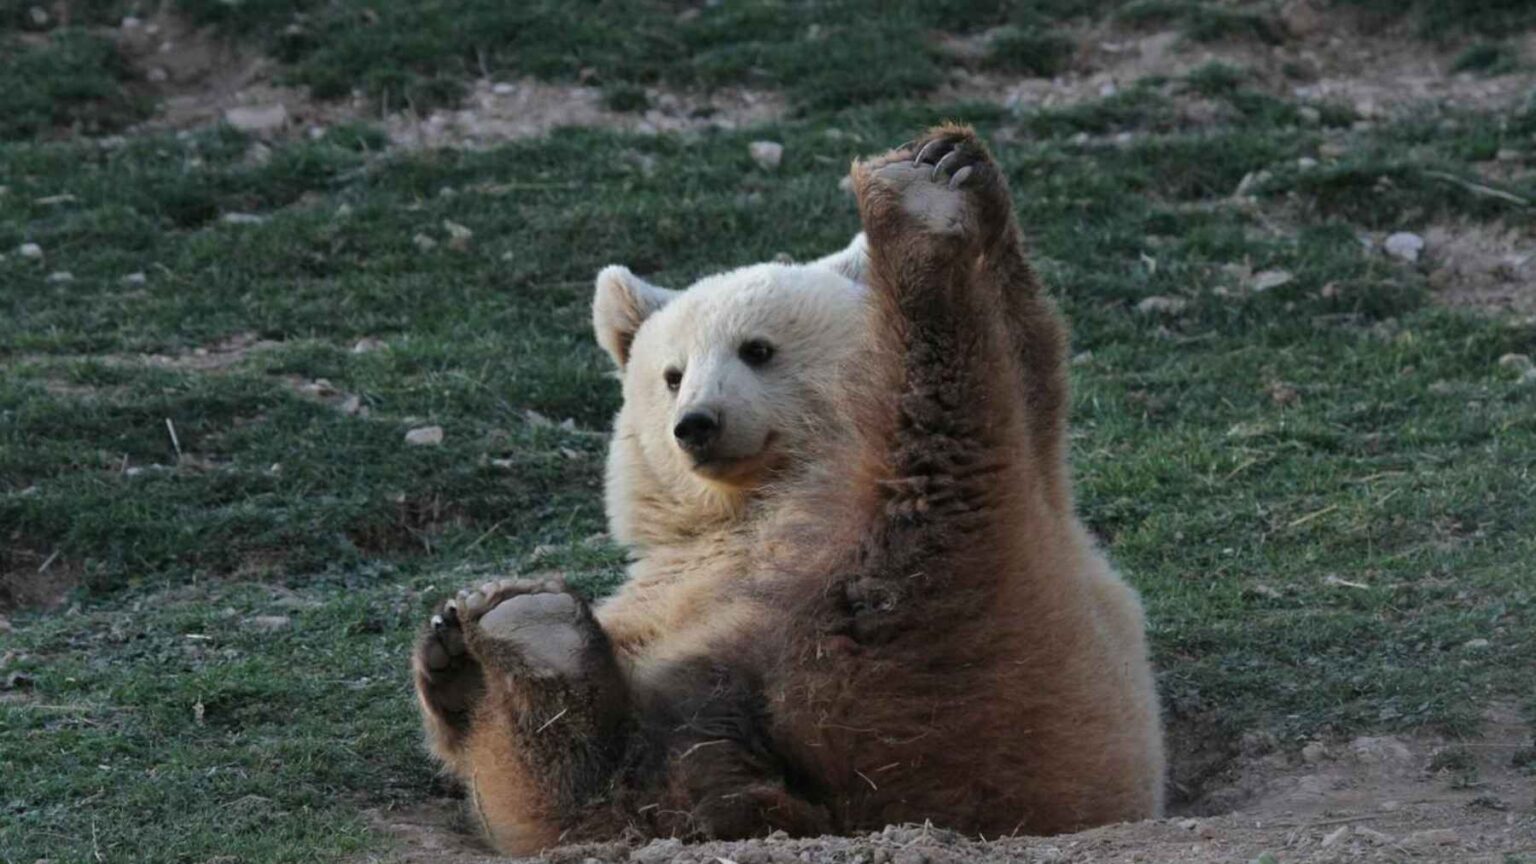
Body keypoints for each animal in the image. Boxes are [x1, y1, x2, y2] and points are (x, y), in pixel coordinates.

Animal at [411, 125, 1166, 855]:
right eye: (671, 374)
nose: (697, 425)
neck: (759, 494)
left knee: (915, 542)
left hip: (989, 669)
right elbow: (1028, 349)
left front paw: (947, 171)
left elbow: (1025, 367)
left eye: (757, 349)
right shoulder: (671, 582)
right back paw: (507, 635)